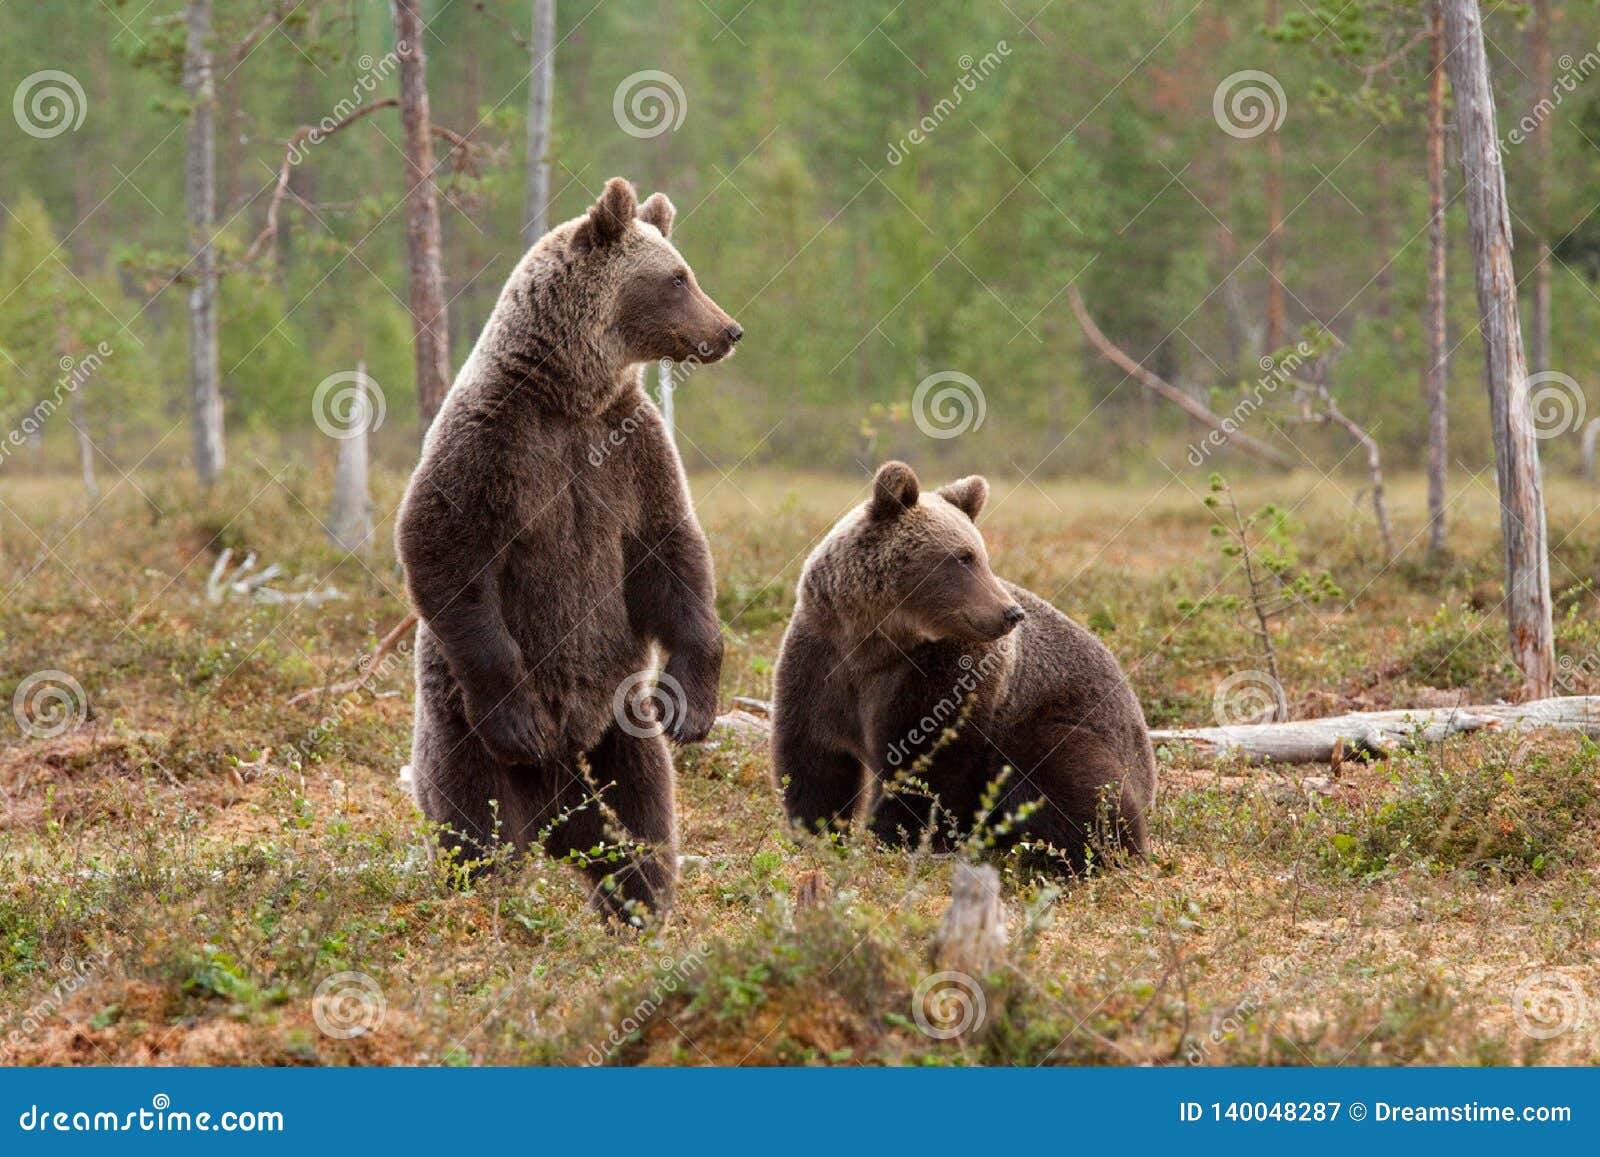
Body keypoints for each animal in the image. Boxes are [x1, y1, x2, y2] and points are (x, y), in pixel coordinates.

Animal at [395, 177, 742, 923]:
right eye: (677, 278)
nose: (729, 330)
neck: (570, 394)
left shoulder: (632, 452)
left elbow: (671, 552)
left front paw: (694, 705)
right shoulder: (494, 443)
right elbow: (442, 546)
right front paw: (520, 714)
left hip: (621, 727)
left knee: (645, 815)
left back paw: (639, 903)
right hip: (458, 729)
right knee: (478, 828)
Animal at [770, 460, 1156, 871]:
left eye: (980, 555)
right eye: (963, 556)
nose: (1010, 613)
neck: (876, 641)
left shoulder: (943, 673)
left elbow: (926, 761)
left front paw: (895, 838)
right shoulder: (823, 658)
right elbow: (815, 757)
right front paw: (819, 834)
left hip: (1061, 721)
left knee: (1070, 780)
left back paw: (1098, 852)